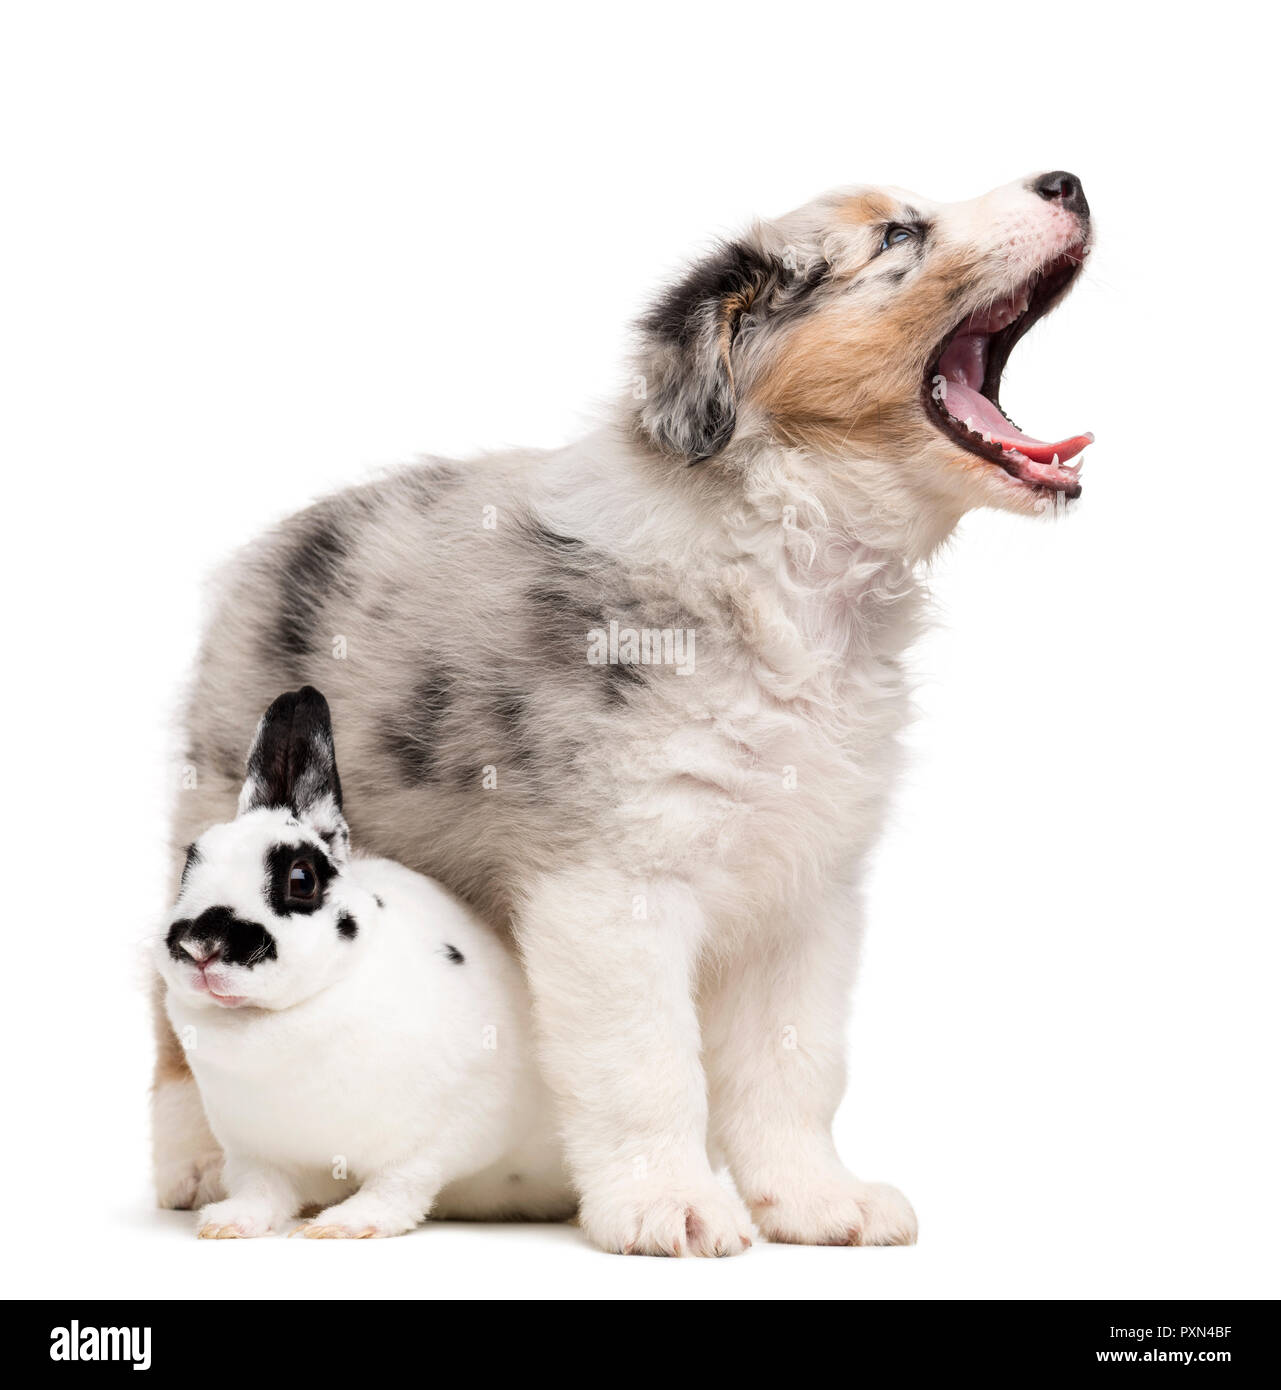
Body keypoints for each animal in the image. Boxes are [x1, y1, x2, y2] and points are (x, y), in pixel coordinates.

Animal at [154, 685, 575, 1239]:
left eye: (302, 879)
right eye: (190, 863)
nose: (202, 944)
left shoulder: (434, 1139)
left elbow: (398, 1187)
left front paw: (345, 1226)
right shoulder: (254, 1152)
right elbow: (263, 1190)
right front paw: (229, 1224)